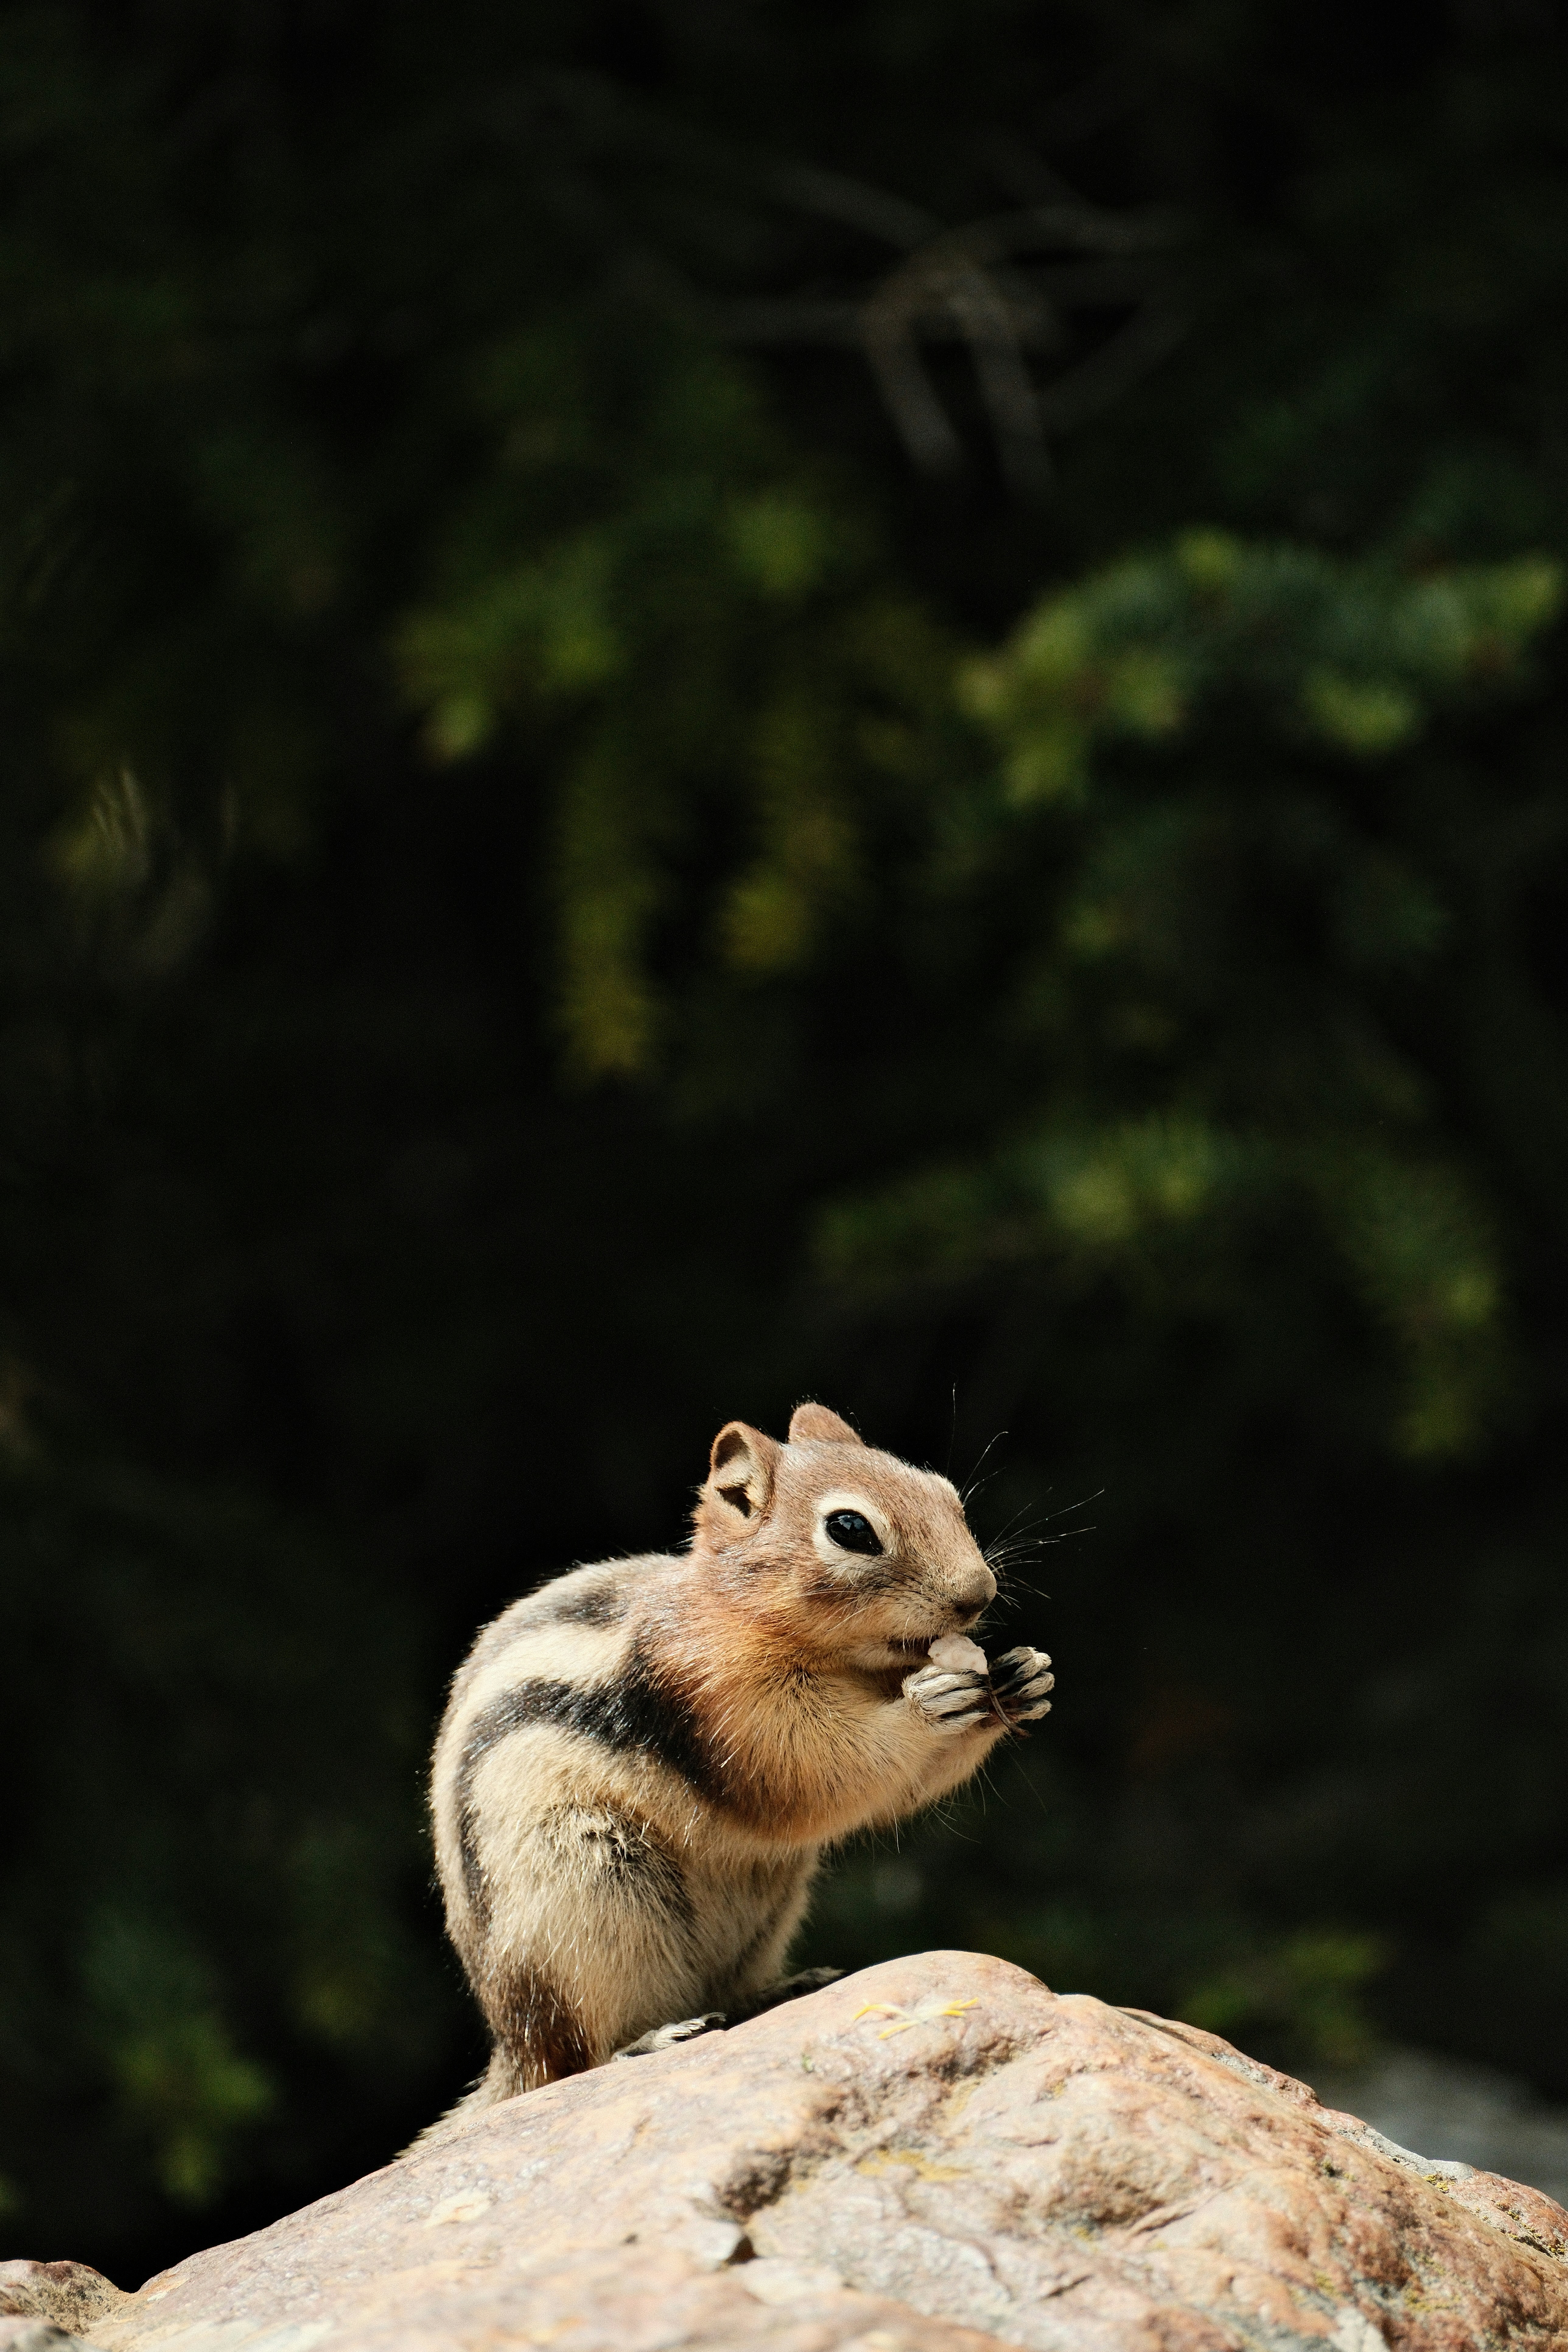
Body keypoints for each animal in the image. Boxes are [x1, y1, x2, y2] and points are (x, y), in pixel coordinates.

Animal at [426, 1402, 1053, 2123]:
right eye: (849, 1528)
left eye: (946, 1493)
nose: (979, 1593)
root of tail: (513, 2046)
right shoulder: (717, 1693)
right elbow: (812, 1767)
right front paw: (927, 1705)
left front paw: (1024, 1675)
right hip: (579, 1895)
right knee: (577, 2057)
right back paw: (646, 2040)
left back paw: (782, 1989)